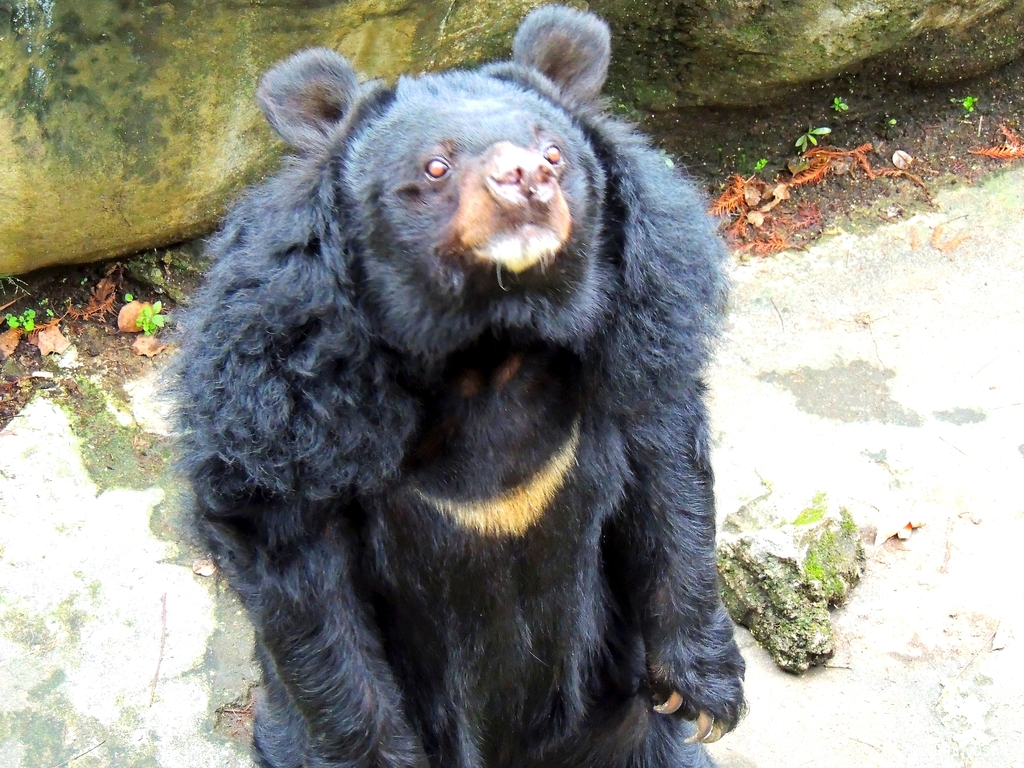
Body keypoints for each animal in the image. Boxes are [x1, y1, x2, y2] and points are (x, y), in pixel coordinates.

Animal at [174, 6, 745, 768]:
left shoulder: (646, 314)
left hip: (614, 717)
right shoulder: (286, 398)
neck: (489, 348)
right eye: (436, 166)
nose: (525, 176)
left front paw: (701, 694)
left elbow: (668, 476)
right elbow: (300, 576)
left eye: (554, 152)